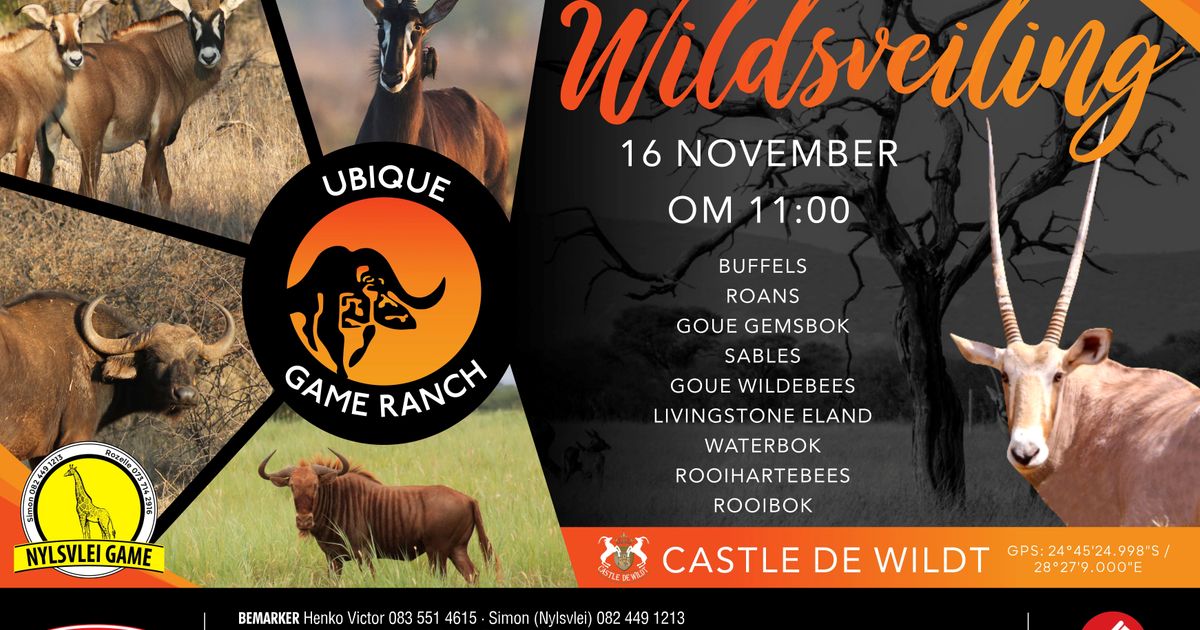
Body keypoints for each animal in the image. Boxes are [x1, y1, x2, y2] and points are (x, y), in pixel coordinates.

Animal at [258, 449, 500, 583]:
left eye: (316, 486)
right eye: (292, 486)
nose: (304, 521)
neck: (335, 501)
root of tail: (468, 499)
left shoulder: (363, 555)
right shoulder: (333, 559)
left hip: (438, 552)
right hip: (455, 551)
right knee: (473, 574)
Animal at [286, 246, 445, 378]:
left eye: (384, 286)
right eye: (370, 284)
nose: (405, 318)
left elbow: (370, 329)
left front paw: (353, 359)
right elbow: (330, 332)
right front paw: (345, 369)